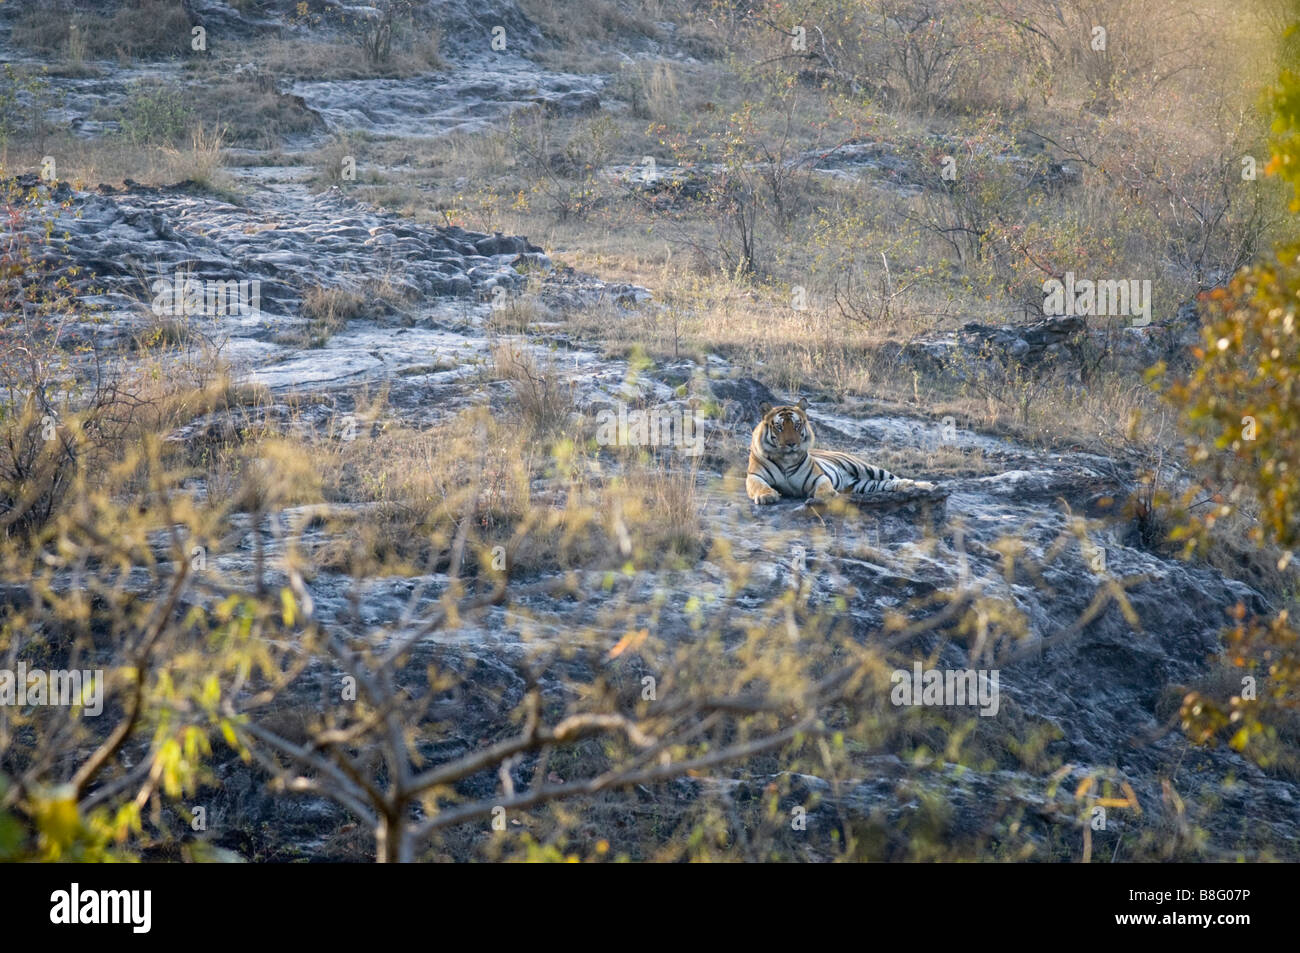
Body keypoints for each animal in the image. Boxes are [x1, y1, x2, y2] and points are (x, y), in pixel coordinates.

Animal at [747, 398, 936, 505]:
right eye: (779, 427)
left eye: (797, 425)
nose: (792, 444)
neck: (786, 459)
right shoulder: (754, 476)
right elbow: (759, 485)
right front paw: (767, 496)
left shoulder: (818, 476)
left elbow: (824, 485)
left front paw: (827, 495)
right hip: (861, 485)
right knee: (883, 484)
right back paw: (904, 486)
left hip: (865, 467)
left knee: (893, 477)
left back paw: (925, 485)